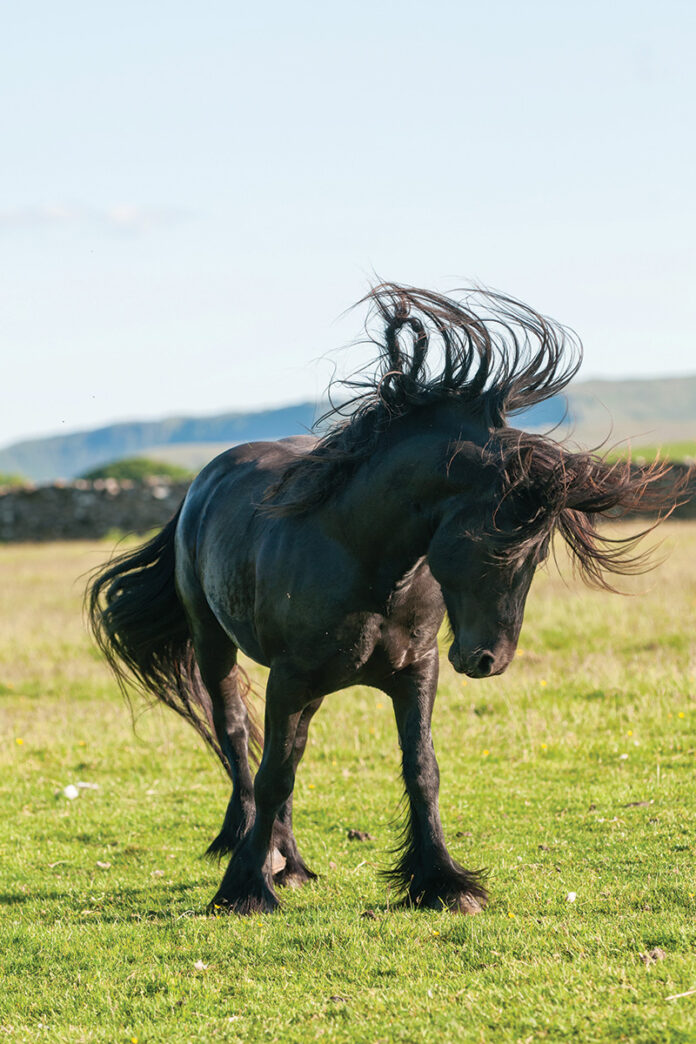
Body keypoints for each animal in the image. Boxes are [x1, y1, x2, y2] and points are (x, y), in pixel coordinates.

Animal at [88, 283, 672, 916]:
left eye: (537, 557)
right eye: (492, 542)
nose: (488, 661)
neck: (367, 561)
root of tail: (204, 480)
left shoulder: (417, 670)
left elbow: (420, 769)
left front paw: (441, 880)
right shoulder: (290, 675)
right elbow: (273, 774)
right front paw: (246, 888)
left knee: (288, 747)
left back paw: (289, 861)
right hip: (215, 645)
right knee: (239, 739)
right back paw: (261, 851)